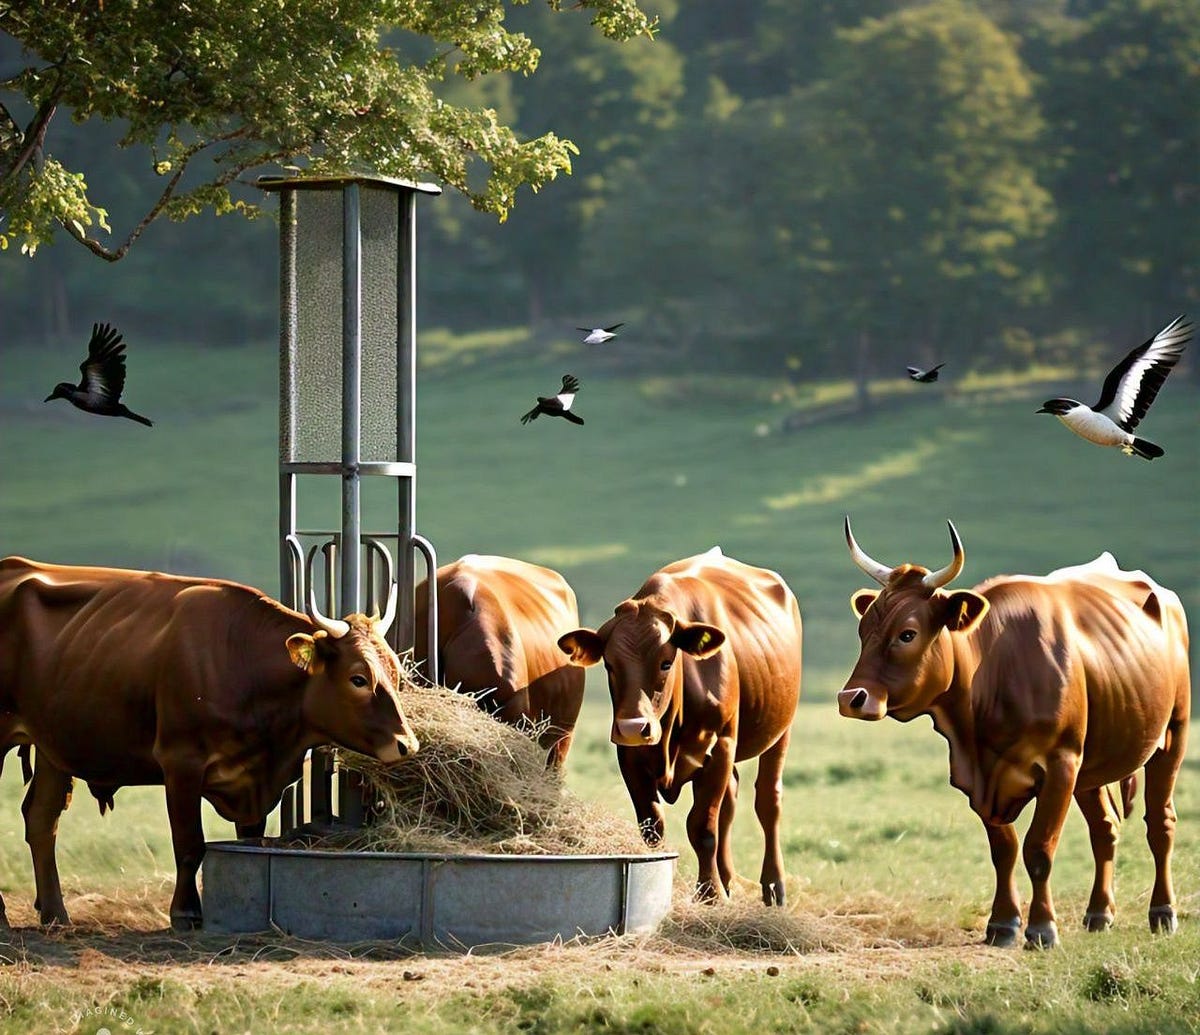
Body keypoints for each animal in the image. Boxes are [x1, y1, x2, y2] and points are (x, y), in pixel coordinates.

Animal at [0, 556, 420, 930]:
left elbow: (250, 839)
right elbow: (190, 845)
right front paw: (186, 913)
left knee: (42, 820)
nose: (407, 744)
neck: (242, 662)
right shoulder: (181, 763)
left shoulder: (253, 781)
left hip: (53, 746)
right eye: (358, 678)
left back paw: (56, 914)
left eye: (397, 672)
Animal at [557, 547, 803, 906]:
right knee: (730, 800)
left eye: (665, 662)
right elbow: (652, 826)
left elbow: (703, 827)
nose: (633, 727)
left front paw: (711, 894)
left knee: (768, 802)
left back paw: (773, 886)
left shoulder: (720, 745)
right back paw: (728, 878)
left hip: (780, 731)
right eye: (610, 665)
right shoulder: (630, 756)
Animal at [837, 518, 1190, 948]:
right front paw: (1003, 924)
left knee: (1160, 824)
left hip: (1172, 735)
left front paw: (1042, 929)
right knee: (1105, 829)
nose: (850, 698)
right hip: (1093, 766)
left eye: (907, 633)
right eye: (863, 629)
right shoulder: (978, 780)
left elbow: (1039, 849)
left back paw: (1163, 912)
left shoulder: (1060, 765)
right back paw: (1099, 913)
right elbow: (1003, 849)